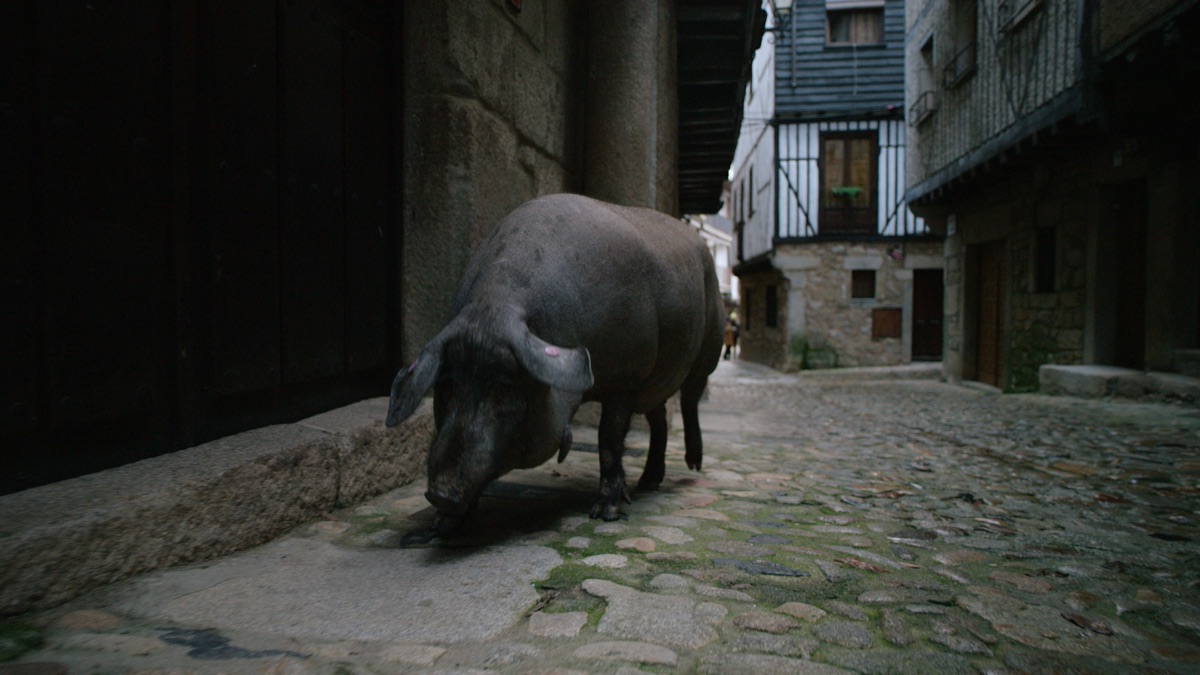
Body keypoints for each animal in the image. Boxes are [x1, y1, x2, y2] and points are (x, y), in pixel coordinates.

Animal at [386, 193, 723, 535]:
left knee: (689, 402)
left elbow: (609, 439)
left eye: (504, 390)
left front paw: (606, 513)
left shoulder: (627, 377)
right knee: (660, 419)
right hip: (655, 382)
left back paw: (693, 464)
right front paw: (444, 524)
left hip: (708, 350)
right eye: (446, 387)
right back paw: (649, 482)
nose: (441, 493)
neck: (494, 307)